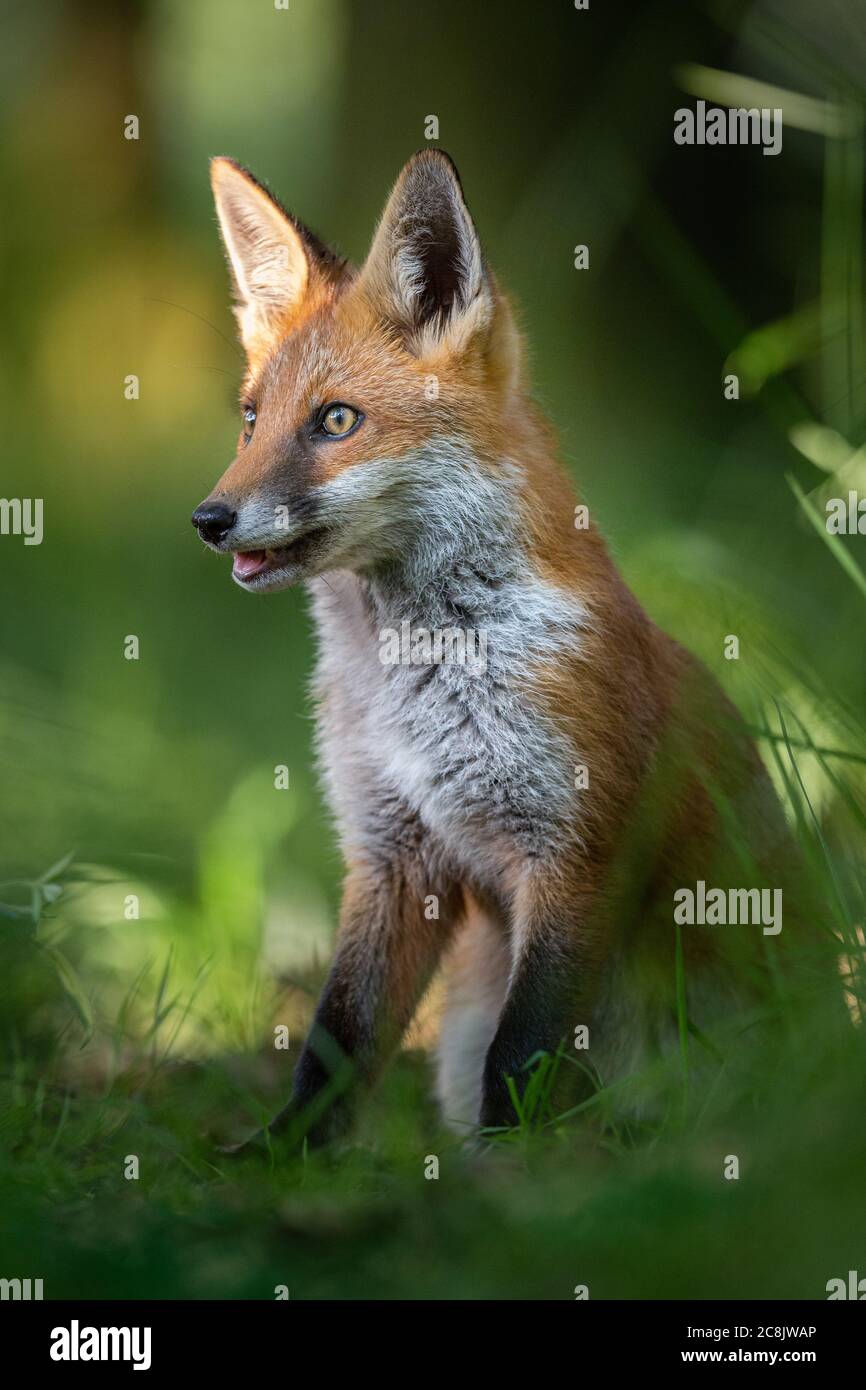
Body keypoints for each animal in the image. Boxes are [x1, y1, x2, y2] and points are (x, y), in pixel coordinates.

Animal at [194, 150, 794, 1144]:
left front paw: (517, 1169)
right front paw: (285, 1155)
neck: (418, 682)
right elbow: (336, 1037)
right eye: (249, 420)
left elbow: (525, 1053)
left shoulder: (575, 851)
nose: (208, 519)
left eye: (335, 421)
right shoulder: (392, 854)